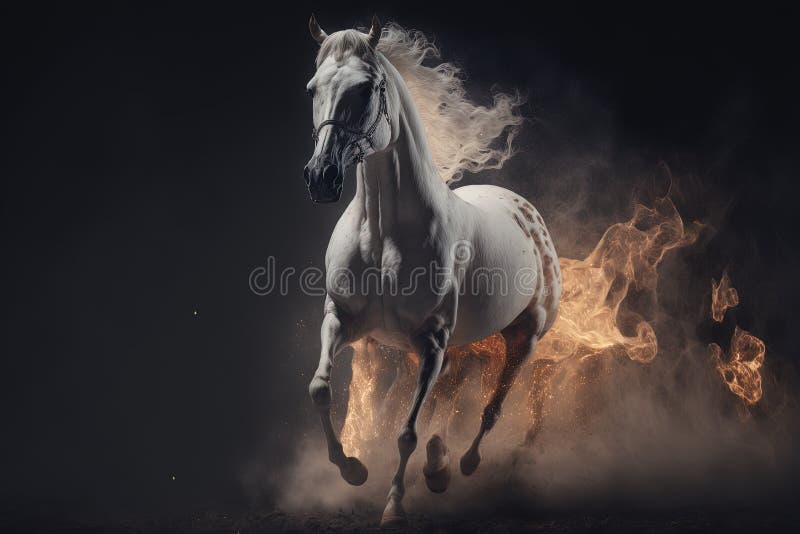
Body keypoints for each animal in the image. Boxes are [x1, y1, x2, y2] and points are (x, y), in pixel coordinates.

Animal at [302, 16, 562, 526]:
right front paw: (353, 470)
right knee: (444, 403)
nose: (321, 177)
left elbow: (406, 432)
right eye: (312, 88)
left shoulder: (432, 340)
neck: (382, 234)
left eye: (365, 89)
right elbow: (320, 389)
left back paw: (463, 463)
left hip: (522, 337)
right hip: (456, 349)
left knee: (492, 409)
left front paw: (393, 507)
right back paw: (437, 468)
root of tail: (524, 210)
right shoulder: (342, 320)